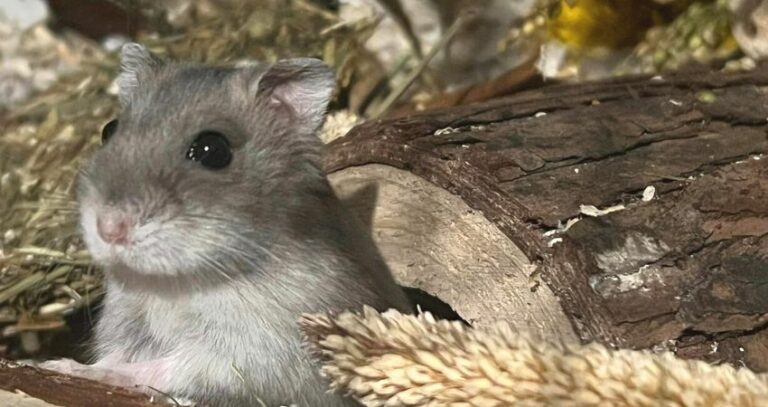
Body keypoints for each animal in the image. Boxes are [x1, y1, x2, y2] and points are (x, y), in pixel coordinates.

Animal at [43, 43, 412, 407]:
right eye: (109, 130)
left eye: (212, 150)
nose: (108, 228)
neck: (172, 283)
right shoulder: (126, 322)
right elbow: (116, 357)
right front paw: (60, 366)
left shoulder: (252, 352)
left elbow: (165, 368)